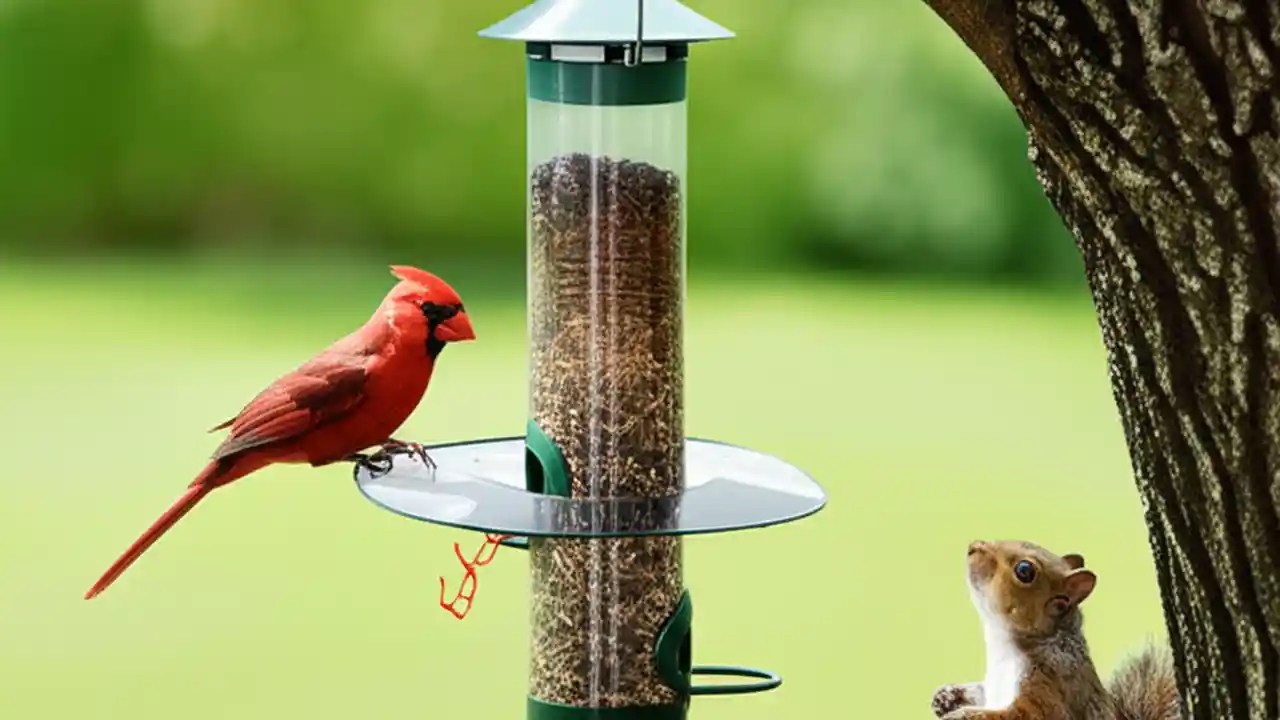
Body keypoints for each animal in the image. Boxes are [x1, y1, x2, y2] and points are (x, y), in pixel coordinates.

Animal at [930, 539, 1182, 720]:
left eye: (1024, 570)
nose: (973, 547)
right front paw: (948, 696)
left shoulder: (1047, 683)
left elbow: (1025, 715)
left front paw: (962, 715)